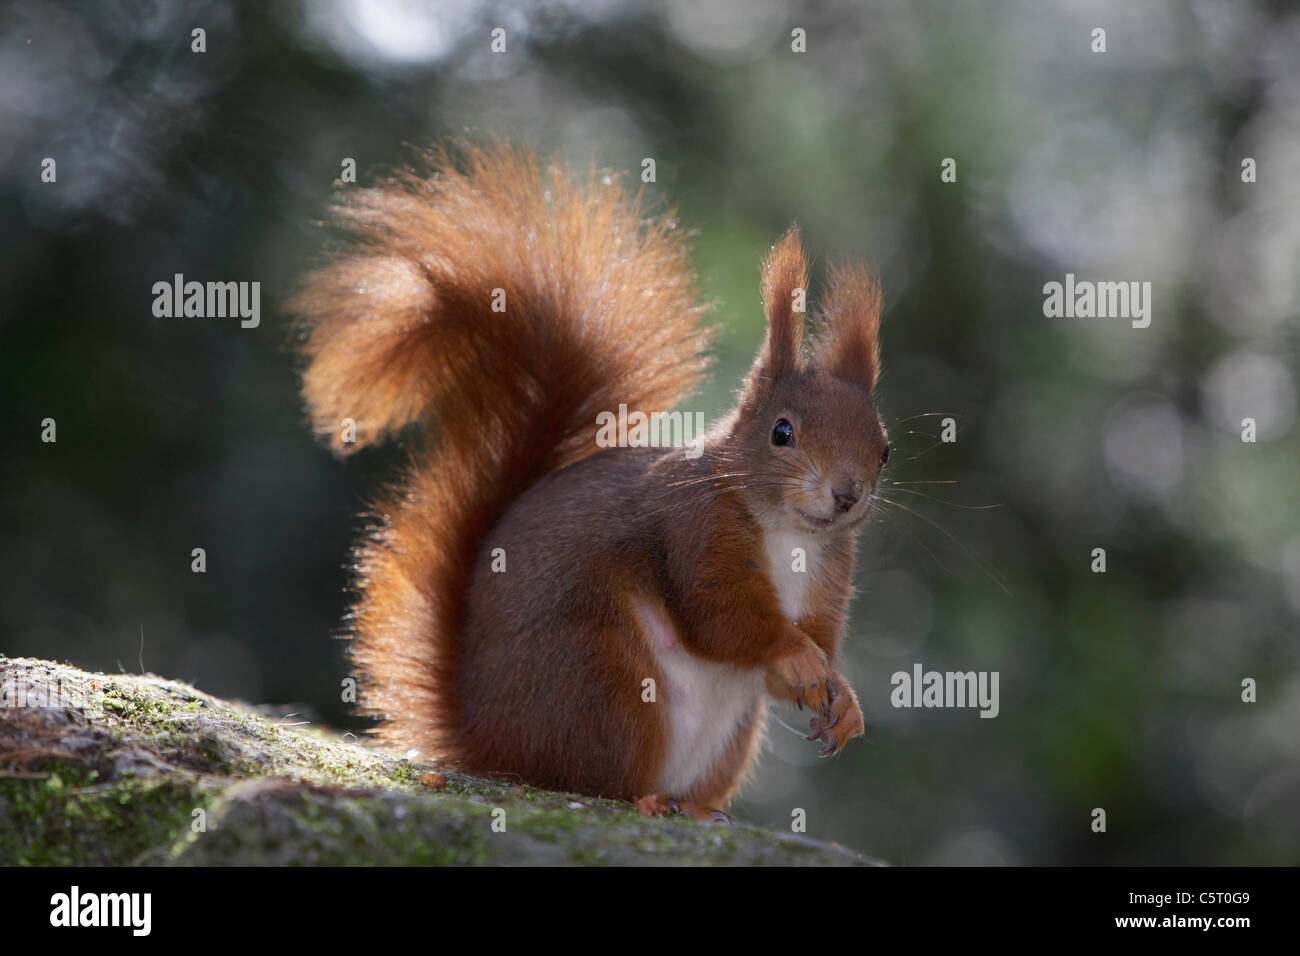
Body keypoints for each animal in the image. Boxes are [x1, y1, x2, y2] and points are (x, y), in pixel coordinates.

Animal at [292, 144, 888, 822]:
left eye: (885, 451)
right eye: (782, 433)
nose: (847, 495)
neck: (791, 535)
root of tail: (490, 741)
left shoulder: (829, 575)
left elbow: (808, 645)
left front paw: (841, 697)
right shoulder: (694, 531)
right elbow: (722, 618)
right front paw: (795, 655)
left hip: (724, 733)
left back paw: (697, 808)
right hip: (604, 677)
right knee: (594, 777)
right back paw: (644, 801)